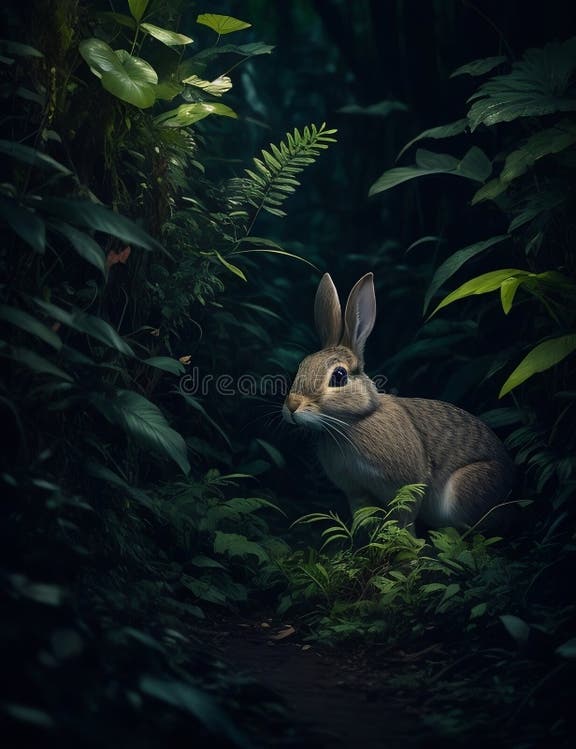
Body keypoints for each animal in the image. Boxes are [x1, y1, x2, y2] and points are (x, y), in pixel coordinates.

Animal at [282, 272, 515, 533]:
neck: (352, 423)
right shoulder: (356, 491)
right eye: (302, 365)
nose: (292, 406)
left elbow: (403, 521)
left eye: (339, 376)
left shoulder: (406, 485)